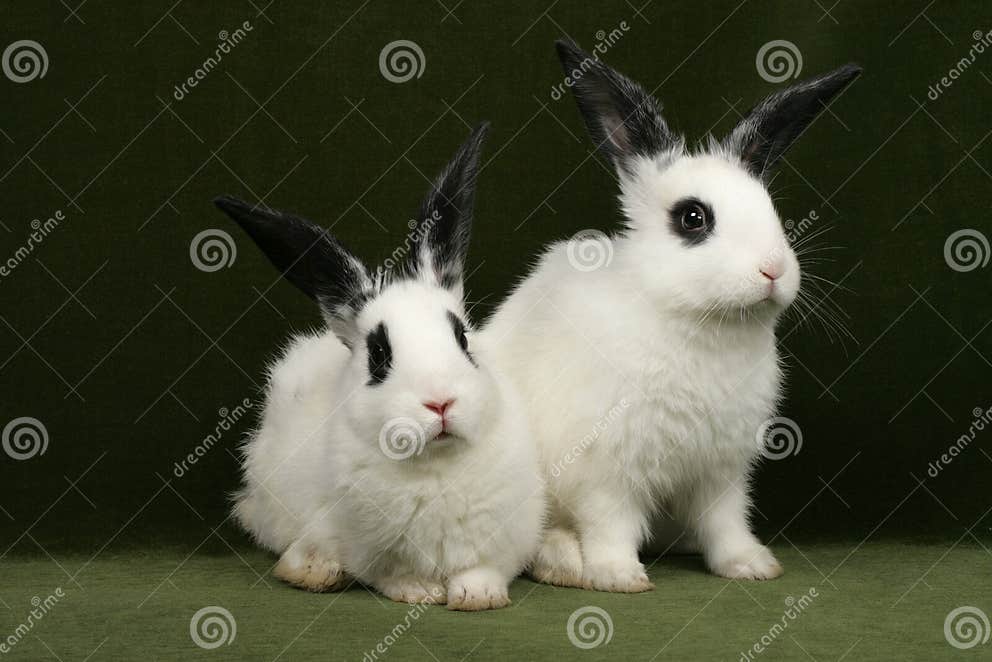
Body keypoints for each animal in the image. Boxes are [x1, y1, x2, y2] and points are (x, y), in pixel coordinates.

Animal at [214, 123, 545, 611]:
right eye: (378, 356)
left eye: (463, 339)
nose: (440, 403)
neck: (436, 466)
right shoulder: (372, 551)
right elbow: (393, 576)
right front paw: (419, 592)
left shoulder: (503, 541)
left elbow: (482, 569)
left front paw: (478, 596)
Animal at [480, 40, 861, 592]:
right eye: (692, 218)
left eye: (769, 208)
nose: (773, 269)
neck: (694, 320)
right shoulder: (605, 468)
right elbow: (610, 523)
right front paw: (619, 576)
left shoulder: (722, 471)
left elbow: (726, 522)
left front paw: (750, 566)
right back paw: (565, 563)